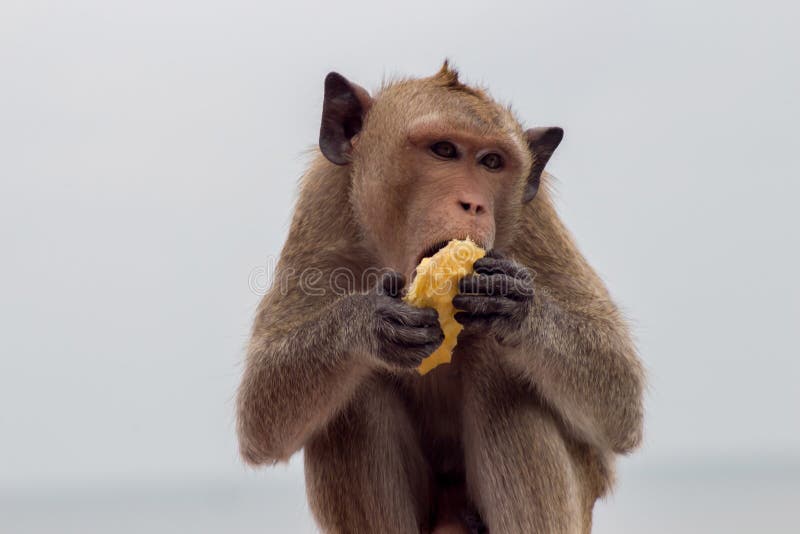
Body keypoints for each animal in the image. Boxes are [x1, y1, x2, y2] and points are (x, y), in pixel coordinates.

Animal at [236, 62, 645, 534]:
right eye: (444, 150)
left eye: (491, 162)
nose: (473, 205)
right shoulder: (323, 204)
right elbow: (262, 419)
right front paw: (368, 324)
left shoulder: (534, 217)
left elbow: (620, 406)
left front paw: (516, 307)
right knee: (356, 389)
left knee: (497, 363)